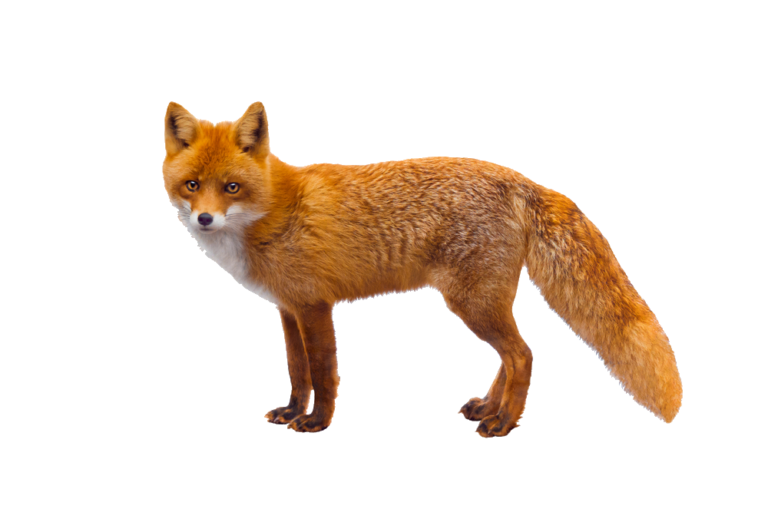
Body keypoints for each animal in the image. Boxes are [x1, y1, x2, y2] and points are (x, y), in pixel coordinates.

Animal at [161, 101, 683, 437]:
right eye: (193, 185)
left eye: (231, 187)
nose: (204, 219)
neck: (271, 210)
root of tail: (521, 179)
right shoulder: (288, 309)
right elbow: (298, 371)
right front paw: (291, 412)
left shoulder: (314, 305)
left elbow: (324, 373)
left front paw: (317, 422)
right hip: (480, 303)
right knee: (512, 356)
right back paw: (488, 407)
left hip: (471, 302)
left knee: (523, 356)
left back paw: (503, 422)